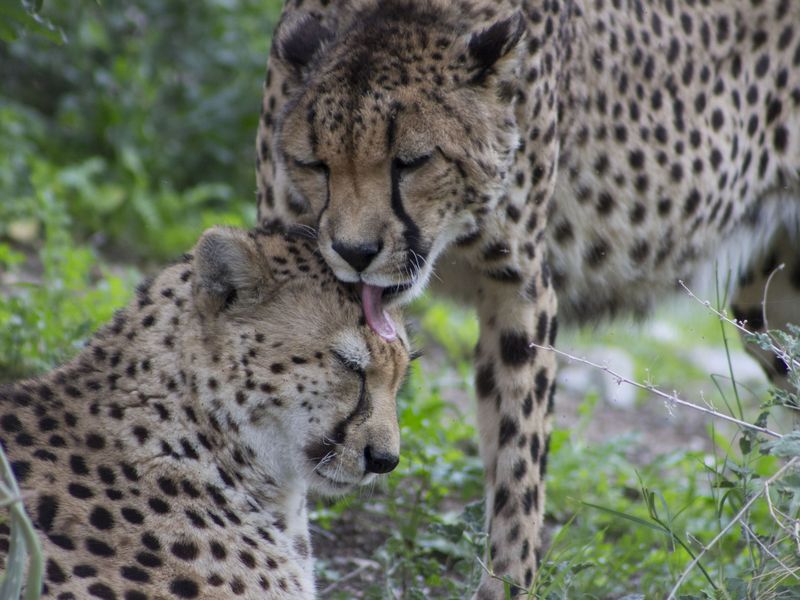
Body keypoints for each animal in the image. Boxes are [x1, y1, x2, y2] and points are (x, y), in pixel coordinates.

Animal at [254, 0, 800, 596]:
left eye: (412, 161)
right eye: (315, 163)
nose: (355, 252)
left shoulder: (522, 289)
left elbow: (519, 458)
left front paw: (509, 583)